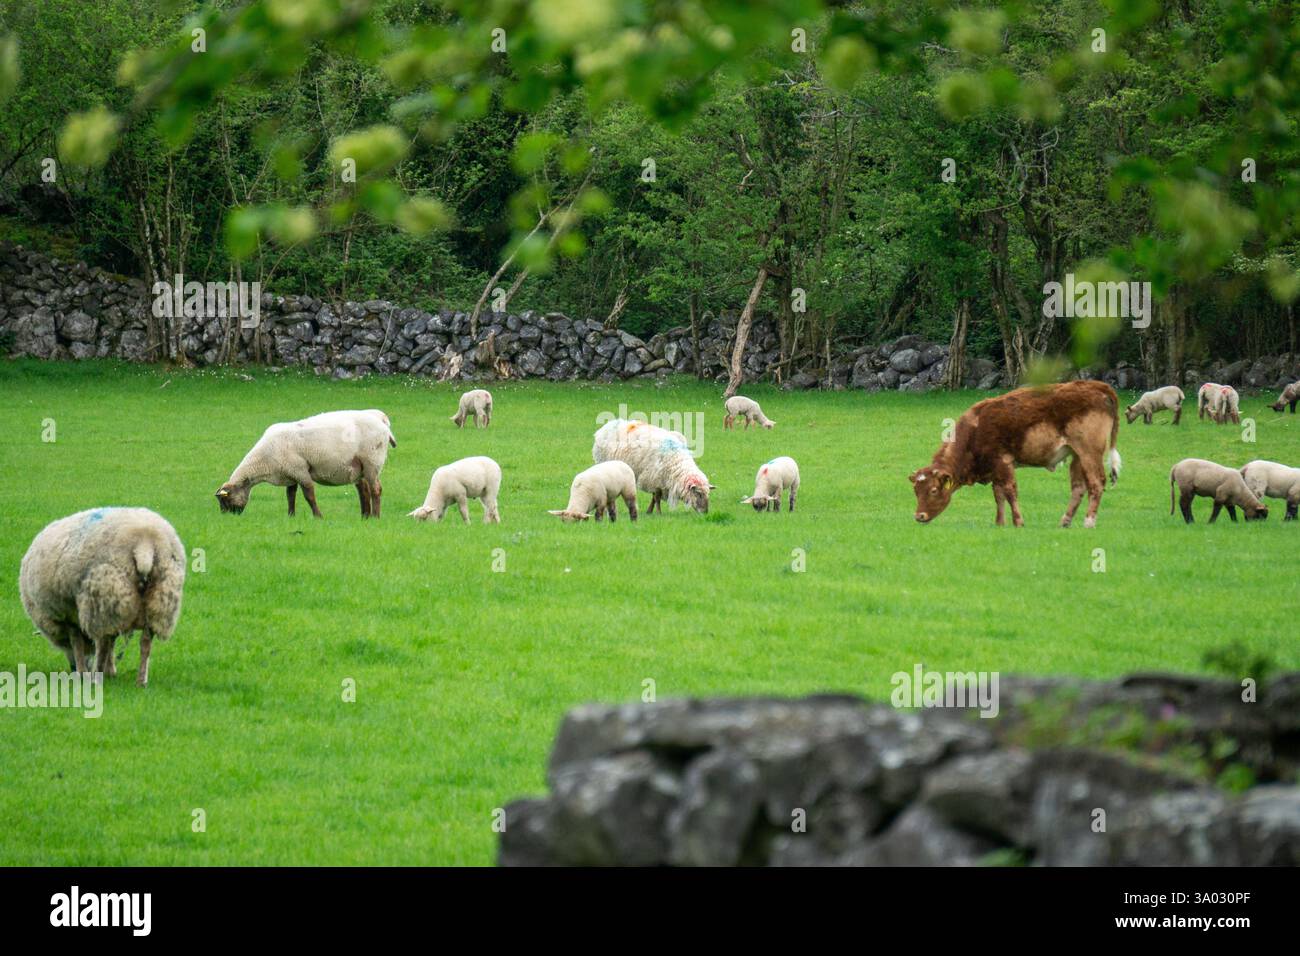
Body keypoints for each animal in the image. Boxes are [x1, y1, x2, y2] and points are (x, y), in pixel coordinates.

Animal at [910, 380, 1122, 528]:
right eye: (916, 491)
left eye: (933, 490)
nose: (919, 516)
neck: (976, 429)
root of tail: (1097, 385)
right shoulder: (994, 468)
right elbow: (998, 494)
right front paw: (1000, 522)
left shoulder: (1003, 462)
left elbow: (1010, 491)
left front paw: (1018, 521)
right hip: (1076, 455)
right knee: (1078, 487)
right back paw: (1065, 521)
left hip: (1089, 453)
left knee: (1096, 483)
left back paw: (1089, 521)